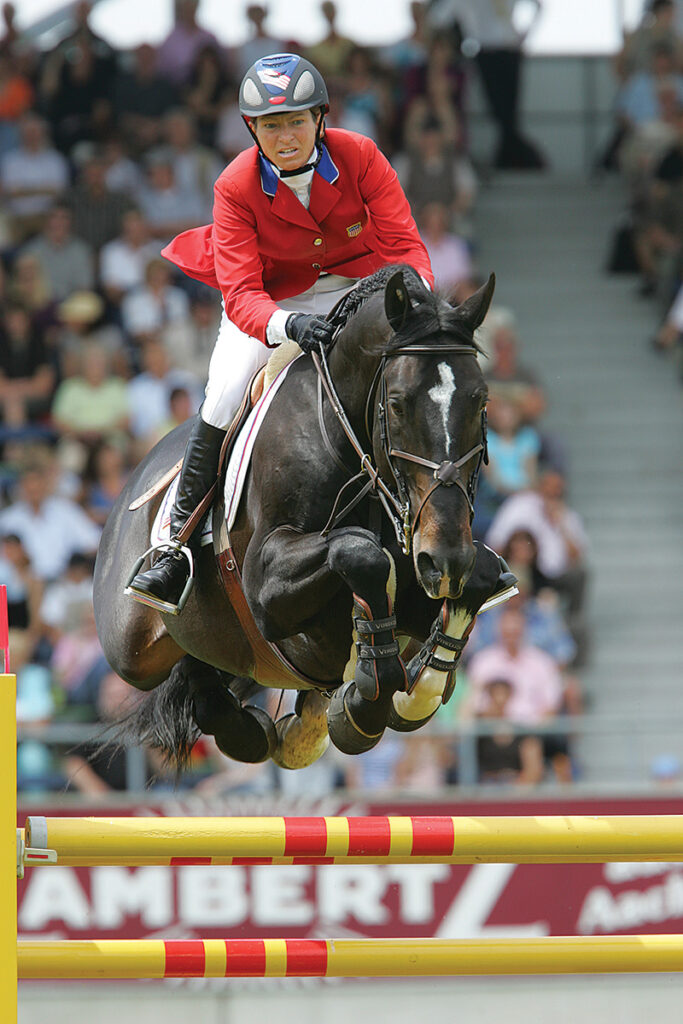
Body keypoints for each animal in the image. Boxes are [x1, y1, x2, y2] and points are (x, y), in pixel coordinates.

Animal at [93, 266, 511, 771]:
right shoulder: (265, 589)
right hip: (130, 649)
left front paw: (404, 690)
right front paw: (370, 690)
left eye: (481, 401)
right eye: (397, 403)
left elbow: (475, 576)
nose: (445, 560)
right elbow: (359, 551)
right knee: (184, 667)